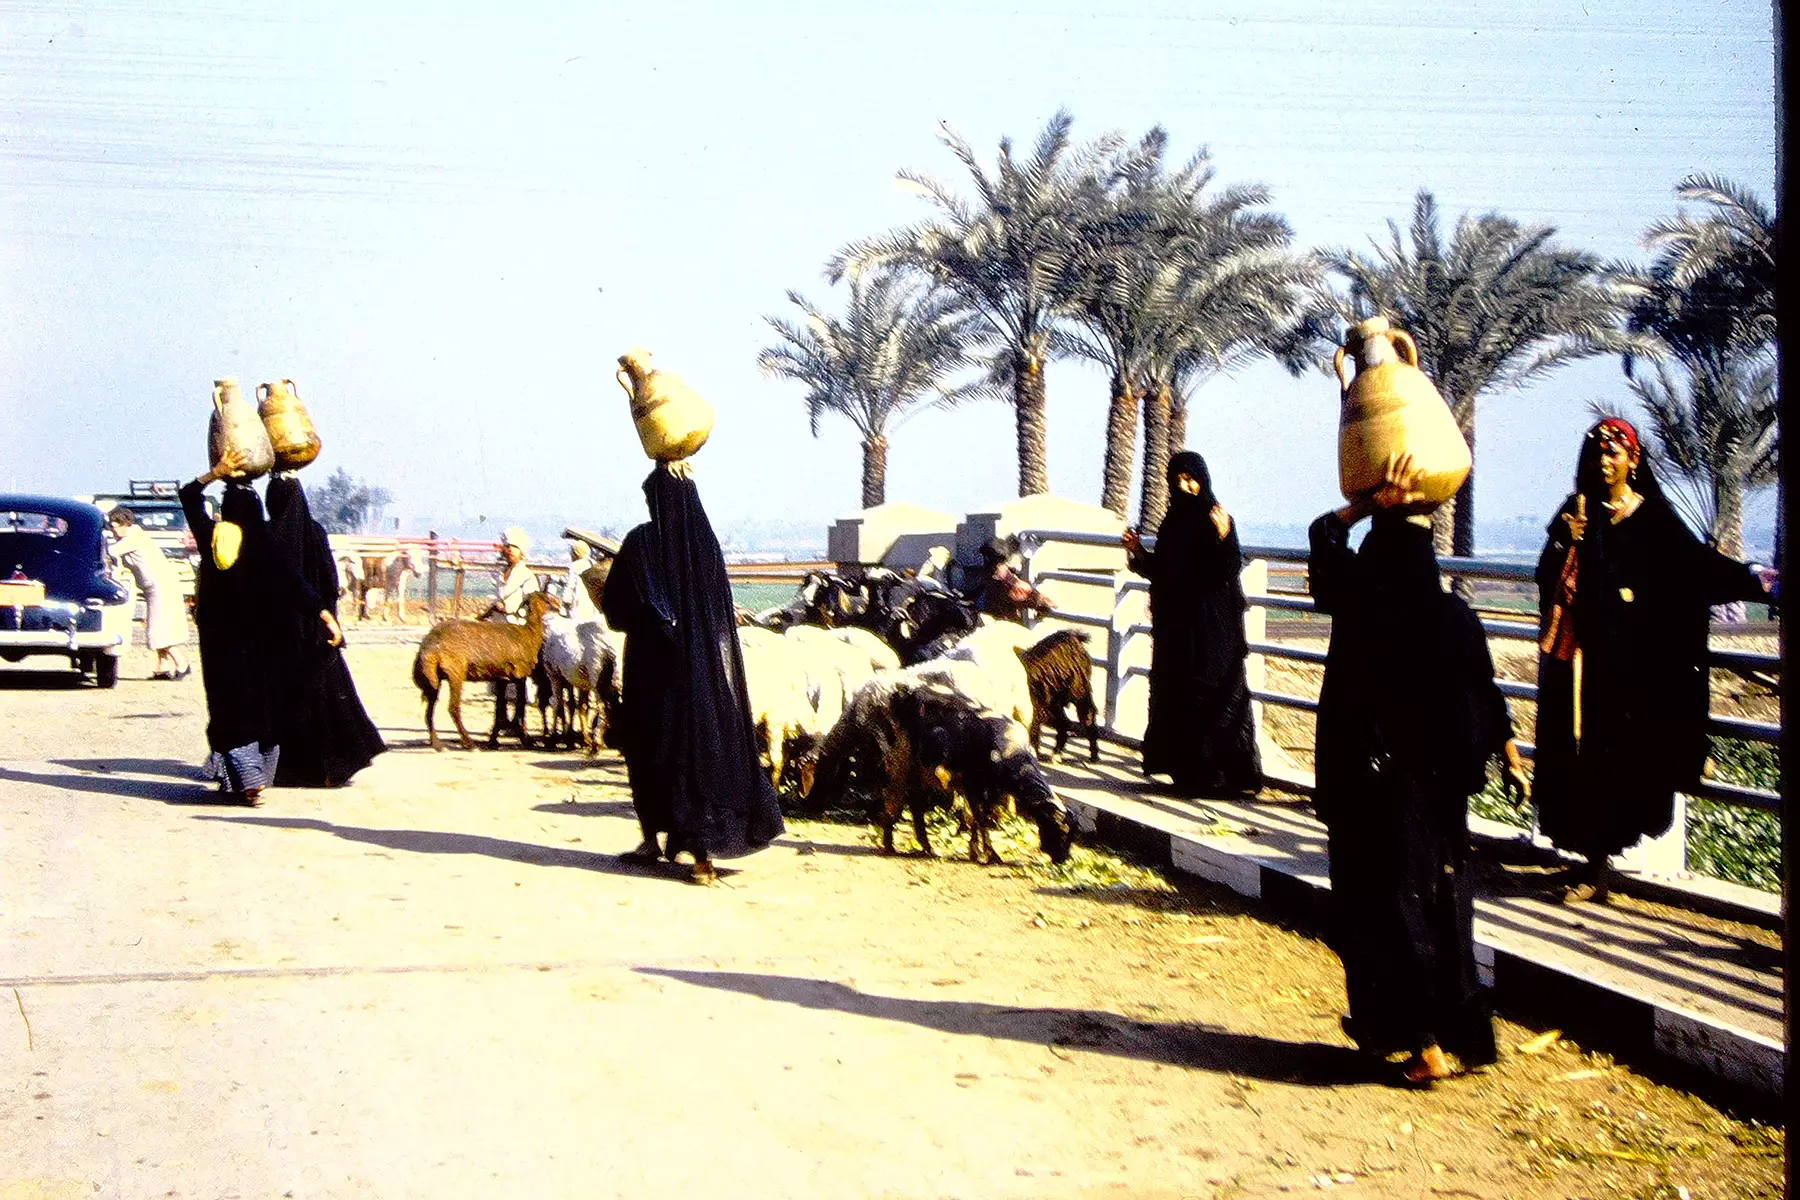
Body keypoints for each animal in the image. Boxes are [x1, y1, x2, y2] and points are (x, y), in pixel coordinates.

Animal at [412, 590, 558, 752]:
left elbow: (499, 709)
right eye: (547, 599)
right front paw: (524, 738)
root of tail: (428, 648)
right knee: (453, 708)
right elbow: (519, 707)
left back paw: (437, 744)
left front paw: (494, 740)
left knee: (429, 712)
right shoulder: (519, 675)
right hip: (455, 672)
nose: (557, 607)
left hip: (432, 679)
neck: (529, 634)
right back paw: (469, 744)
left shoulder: (502, 677)